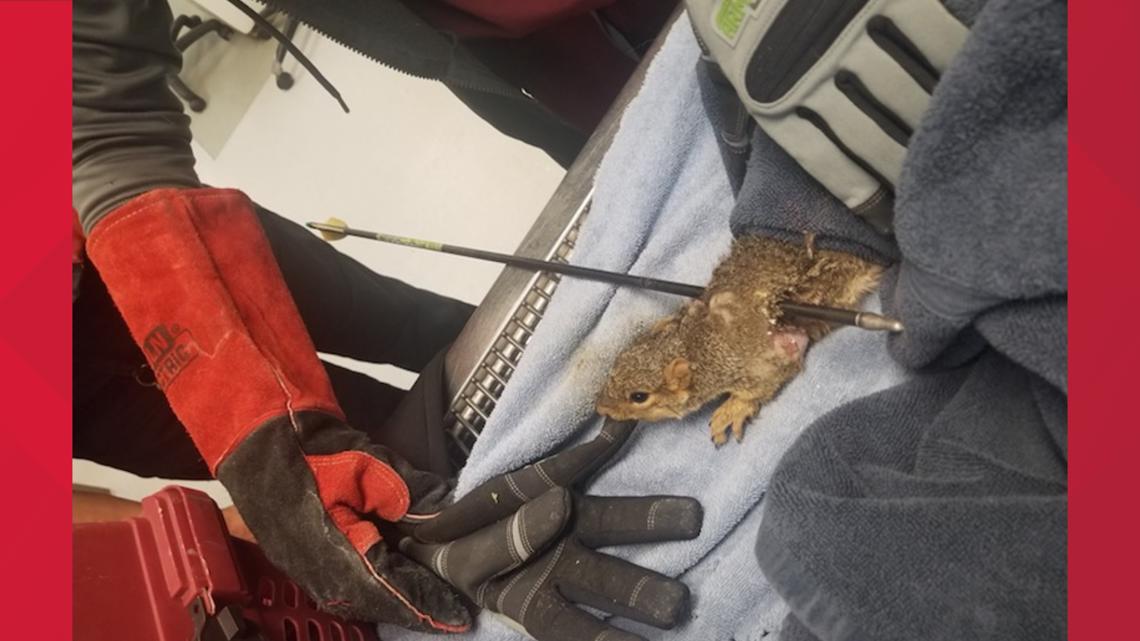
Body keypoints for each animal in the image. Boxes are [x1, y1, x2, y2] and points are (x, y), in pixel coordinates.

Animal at [596, 234, 882, 446]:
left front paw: (732, 410)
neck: (697, 346)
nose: (601, 409)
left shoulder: (760, 363)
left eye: (639, 397)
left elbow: (763, 386)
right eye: (614, 366)